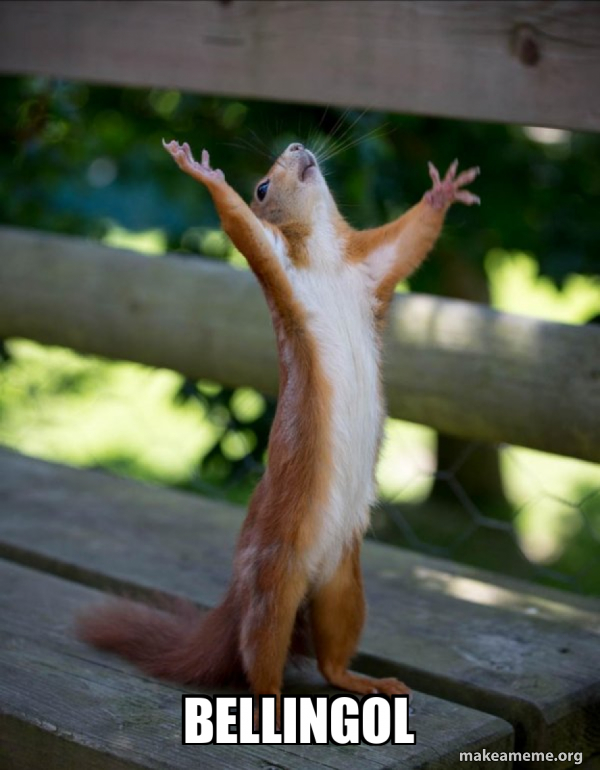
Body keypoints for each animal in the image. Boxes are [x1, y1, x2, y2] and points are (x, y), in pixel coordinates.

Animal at [77, 138, 479, 722]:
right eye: (262, 187)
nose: (296, 146)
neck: (327, 258)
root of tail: (239, 595)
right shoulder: (277, 264)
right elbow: (240, 225)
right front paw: (204, 173)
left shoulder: (371, 267)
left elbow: (410, 240)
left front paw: (443, 192)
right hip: (273, 585)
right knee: (259, 658)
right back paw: (274, 701)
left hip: (344, 587)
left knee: (331, 659)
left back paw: (365, 681)